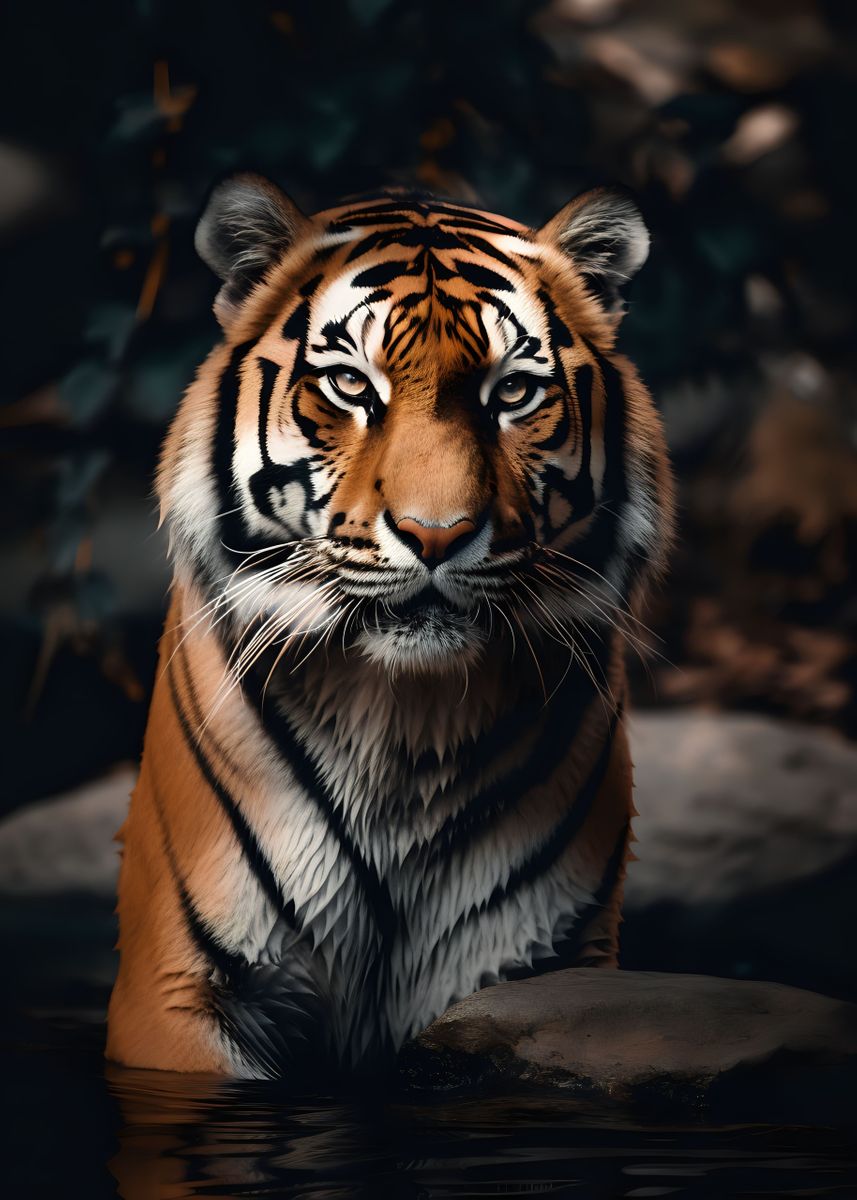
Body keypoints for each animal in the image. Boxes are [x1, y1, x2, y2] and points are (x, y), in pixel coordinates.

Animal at [106, 175, 674, 1079]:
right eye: (349, 385)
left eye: (512, 393)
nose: (436, 534)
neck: (403, 723)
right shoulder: (178, 988)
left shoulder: (547, 967)